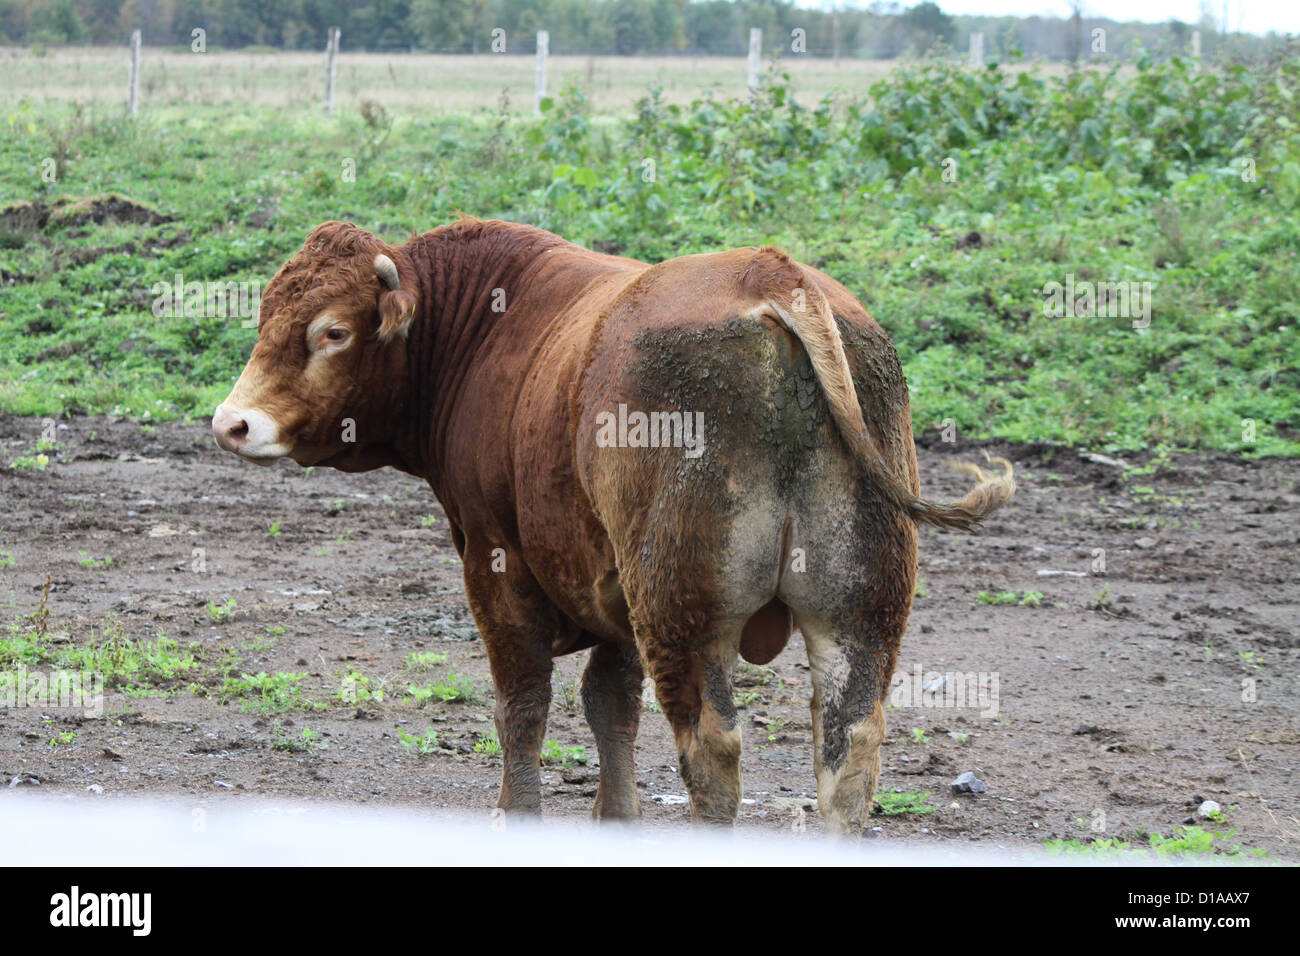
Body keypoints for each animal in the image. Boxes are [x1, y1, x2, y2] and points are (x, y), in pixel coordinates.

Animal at [212, 217, 1014, 835]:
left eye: (333, 332)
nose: (232, 422)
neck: (483, 333)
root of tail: (773, 276)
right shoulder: (614, 591)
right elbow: (610, 706)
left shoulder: (498, 565)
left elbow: (523, 705)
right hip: (853, 607)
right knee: (850, 749)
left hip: (680, 605)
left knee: (712, 752)